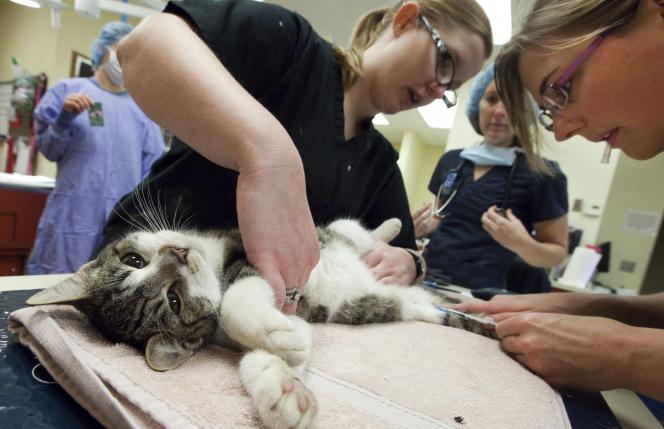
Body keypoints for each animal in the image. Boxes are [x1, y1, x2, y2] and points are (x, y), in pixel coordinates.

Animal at [27, 217, 492, 428]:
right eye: (173, 301)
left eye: (134, 260)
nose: (179, 253)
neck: (215, 262)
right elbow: (274, 351)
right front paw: (283, 389)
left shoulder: (247, 247)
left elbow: (237, 300)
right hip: (392, 305)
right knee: (423, 306)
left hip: (338, 234)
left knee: (357, 232)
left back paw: (390, 231)